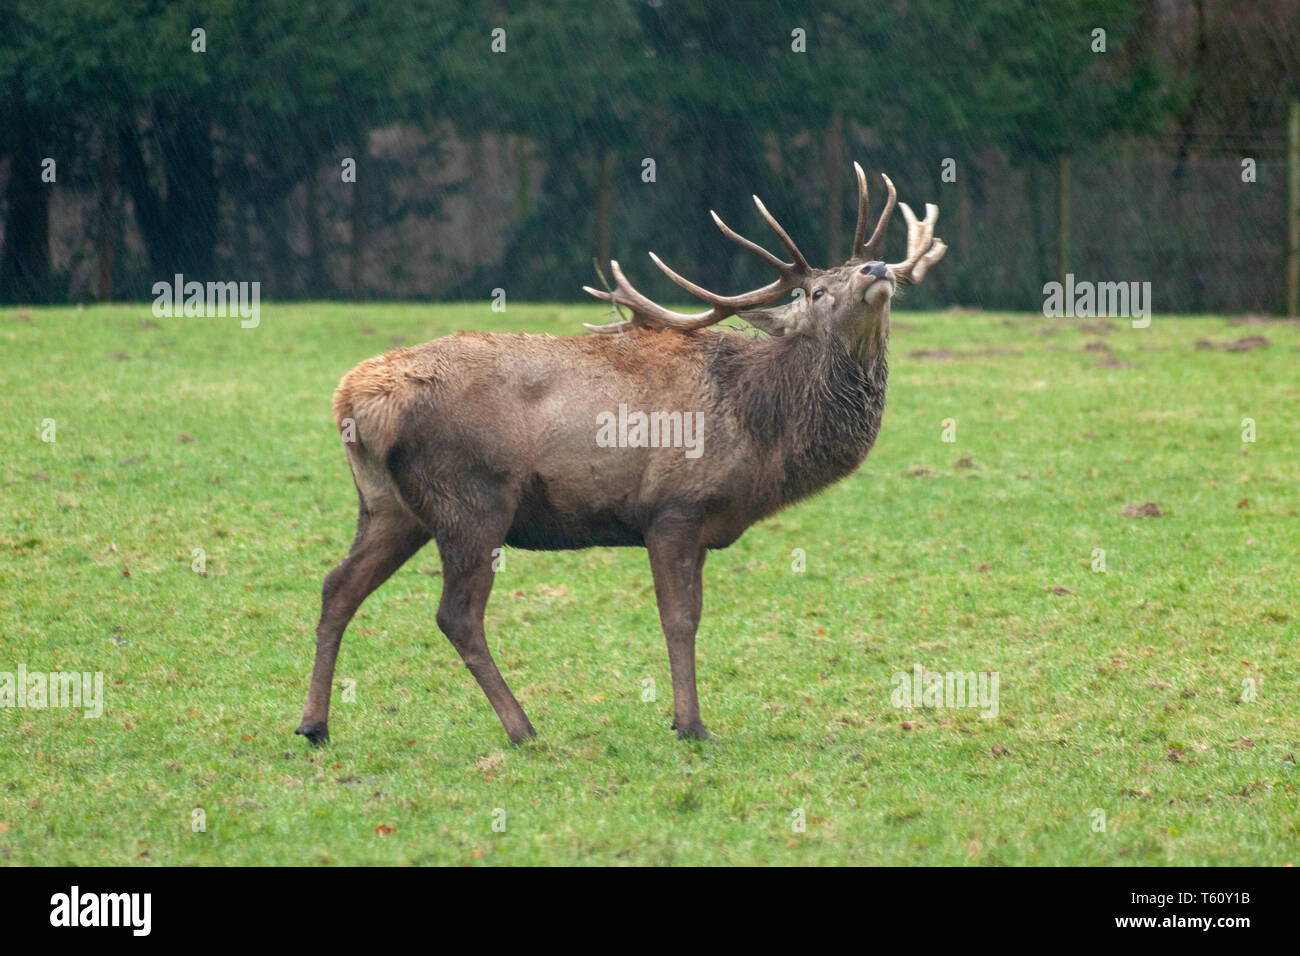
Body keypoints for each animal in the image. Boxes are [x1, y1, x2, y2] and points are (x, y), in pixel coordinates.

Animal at [296, 162, 946, 746]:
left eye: (854, 268)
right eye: (815, 290)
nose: (878, 267)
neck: (757, 426)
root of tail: (352, 397)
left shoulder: (698, 524)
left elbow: (692, 616)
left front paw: (686, 720)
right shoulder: (672, 508)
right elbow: (679, 620)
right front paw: (691, 726)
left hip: (390, 505)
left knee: (338, 585)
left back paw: (314, 725)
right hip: (472, 496)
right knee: (455, 614)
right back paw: (522, 729)